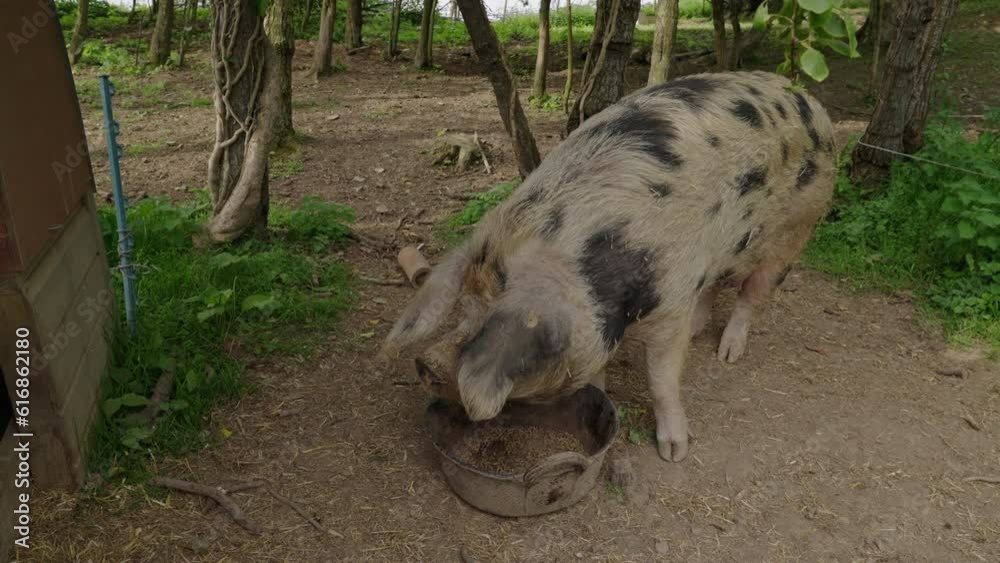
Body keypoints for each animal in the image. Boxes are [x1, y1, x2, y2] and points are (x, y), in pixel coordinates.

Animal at [381, 71, 837, 462]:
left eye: (489, 318)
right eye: (465, 308)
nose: (428, 362)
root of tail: (811, 101)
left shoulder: (672, 295)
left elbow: (662, 377)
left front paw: (674, 452)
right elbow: (600, 373)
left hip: (800, 226)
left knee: (752, 293)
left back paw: (728, 353)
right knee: (713, 285)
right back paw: (699, 329)